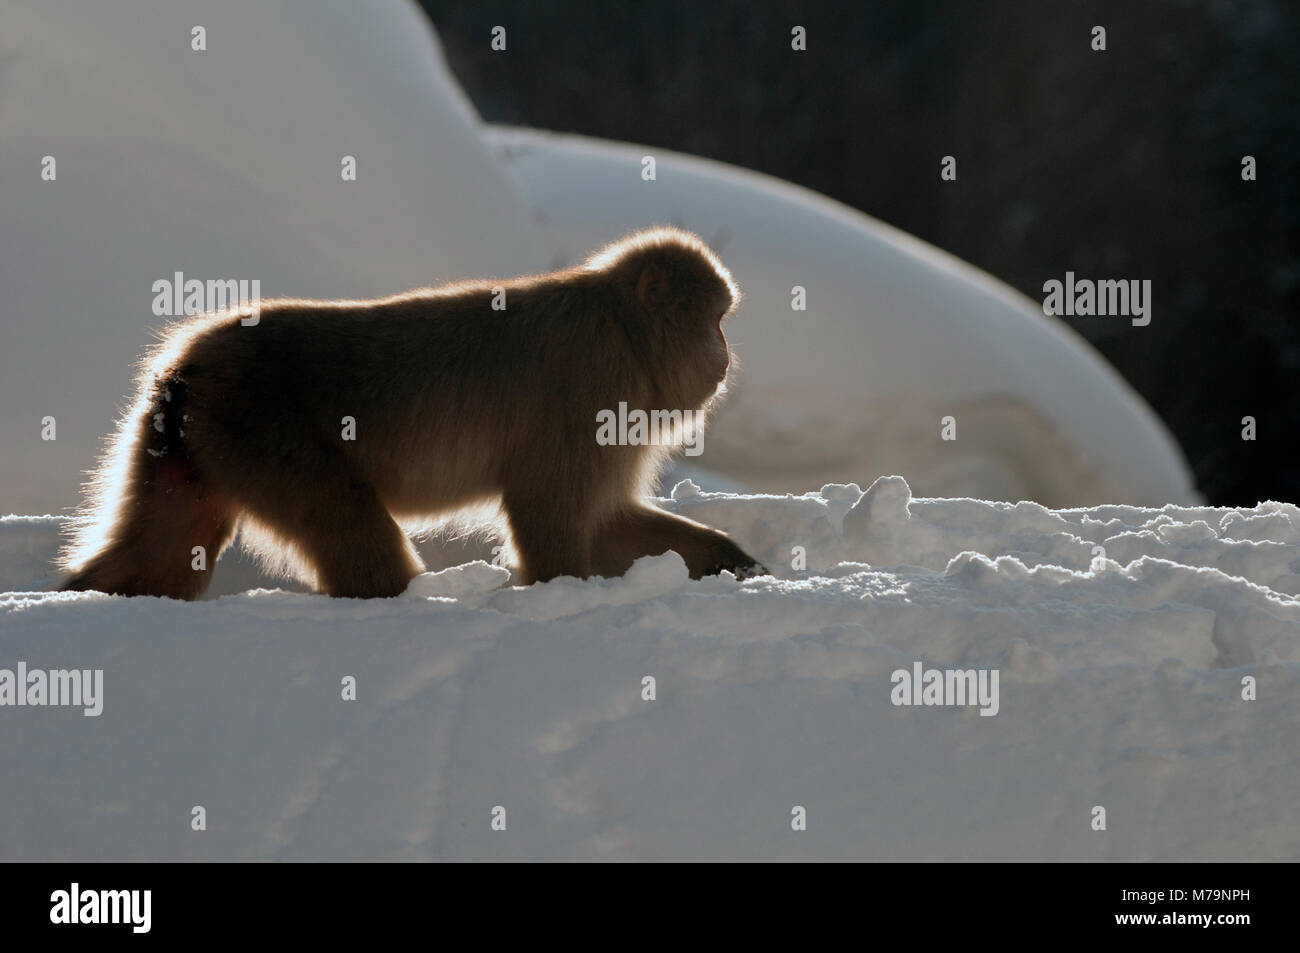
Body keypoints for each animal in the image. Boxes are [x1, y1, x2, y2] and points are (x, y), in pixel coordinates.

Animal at [58, 227, 767, 599]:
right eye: (716, 320)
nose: (728, 355)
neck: (625, 331)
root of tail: (186, 367)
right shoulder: (591, 393)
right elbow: (551, 520)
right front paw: (562, 594)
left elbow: (607, 523)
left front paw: (734, 563)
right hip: (264, 431)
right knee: (352, 531)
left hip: (199, 445)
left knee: (165, 546)